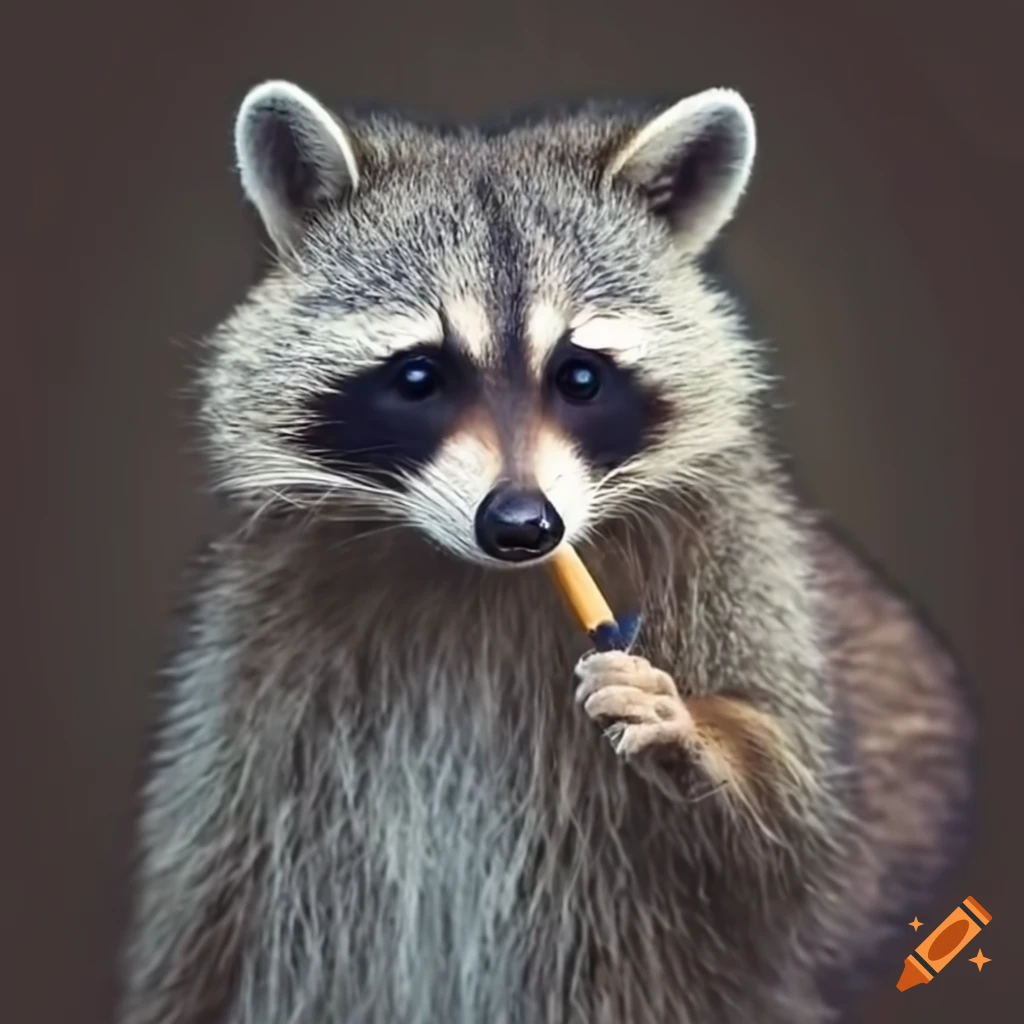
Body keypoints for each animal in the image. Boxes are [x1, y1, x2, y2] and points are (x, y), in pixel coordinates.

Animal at [117, 81, 976, 1024]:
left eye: (581, 376)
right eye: (418, 377)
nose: (524, 526)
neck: (477, 582)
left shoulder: (741, 567)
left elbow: (799, 841)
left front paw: (700, 739)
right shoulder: (253, 670)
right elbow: (209, 912)